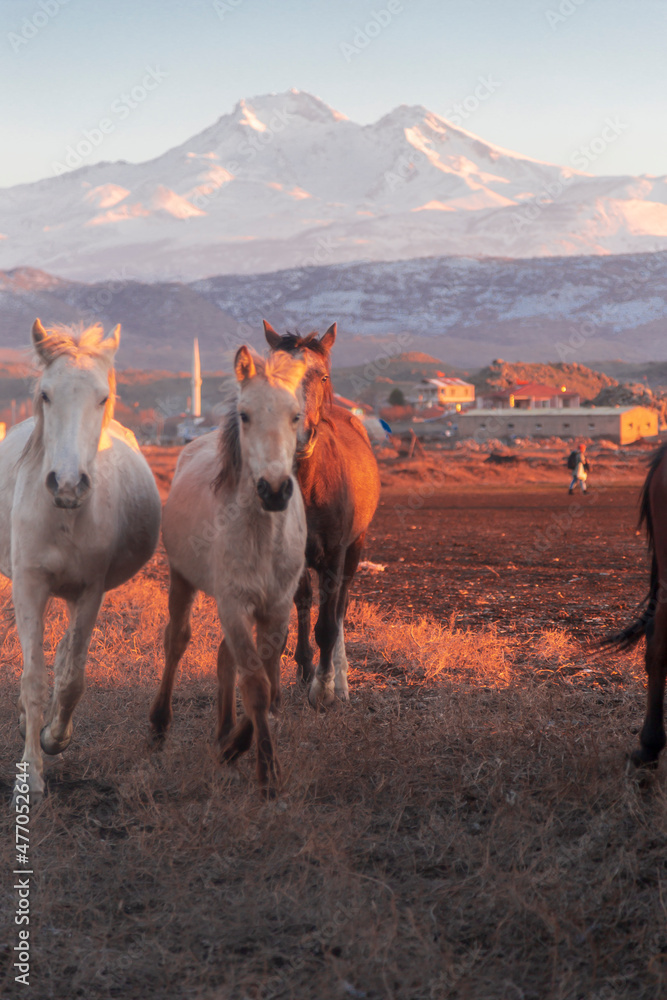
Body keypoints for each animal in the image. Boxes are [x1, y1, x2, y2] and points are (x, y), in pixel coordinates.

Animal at [0, 320, 162, 803]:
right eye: (46, 394)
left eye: (102, 397)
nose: (68, 484)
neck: (65, 516)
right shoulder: (29, 586)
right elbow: (32, 677)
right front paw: (31, 776)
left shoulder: (90, 592)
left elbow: (72, 677)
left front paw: (55, 739)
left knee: (64, 658)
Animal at [149, 347, 307, 795]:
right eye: (245, 415)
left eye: (296, 415)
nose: (274, 489)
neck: (263, 536)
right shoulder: (235, 604)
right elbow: (255, 686)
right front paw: (266, 773)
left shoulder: (276, 608)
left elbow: (266, 681)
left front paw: (237, 746)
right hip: (182, 580)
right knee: (176, 641)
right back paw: (159, 727)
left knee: (224, 657)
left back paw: (223, 733)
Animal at [263, 321, 381, 709]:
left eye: (324, 376)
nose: (298, 434)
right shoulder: (288, 554)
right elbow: (295, 610)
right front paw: (299, 673)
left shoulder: (334, 553)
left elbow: (328, 625)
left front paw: (325, 688)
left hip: (355, 548)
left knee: (340, 605)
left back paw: (339, 679)